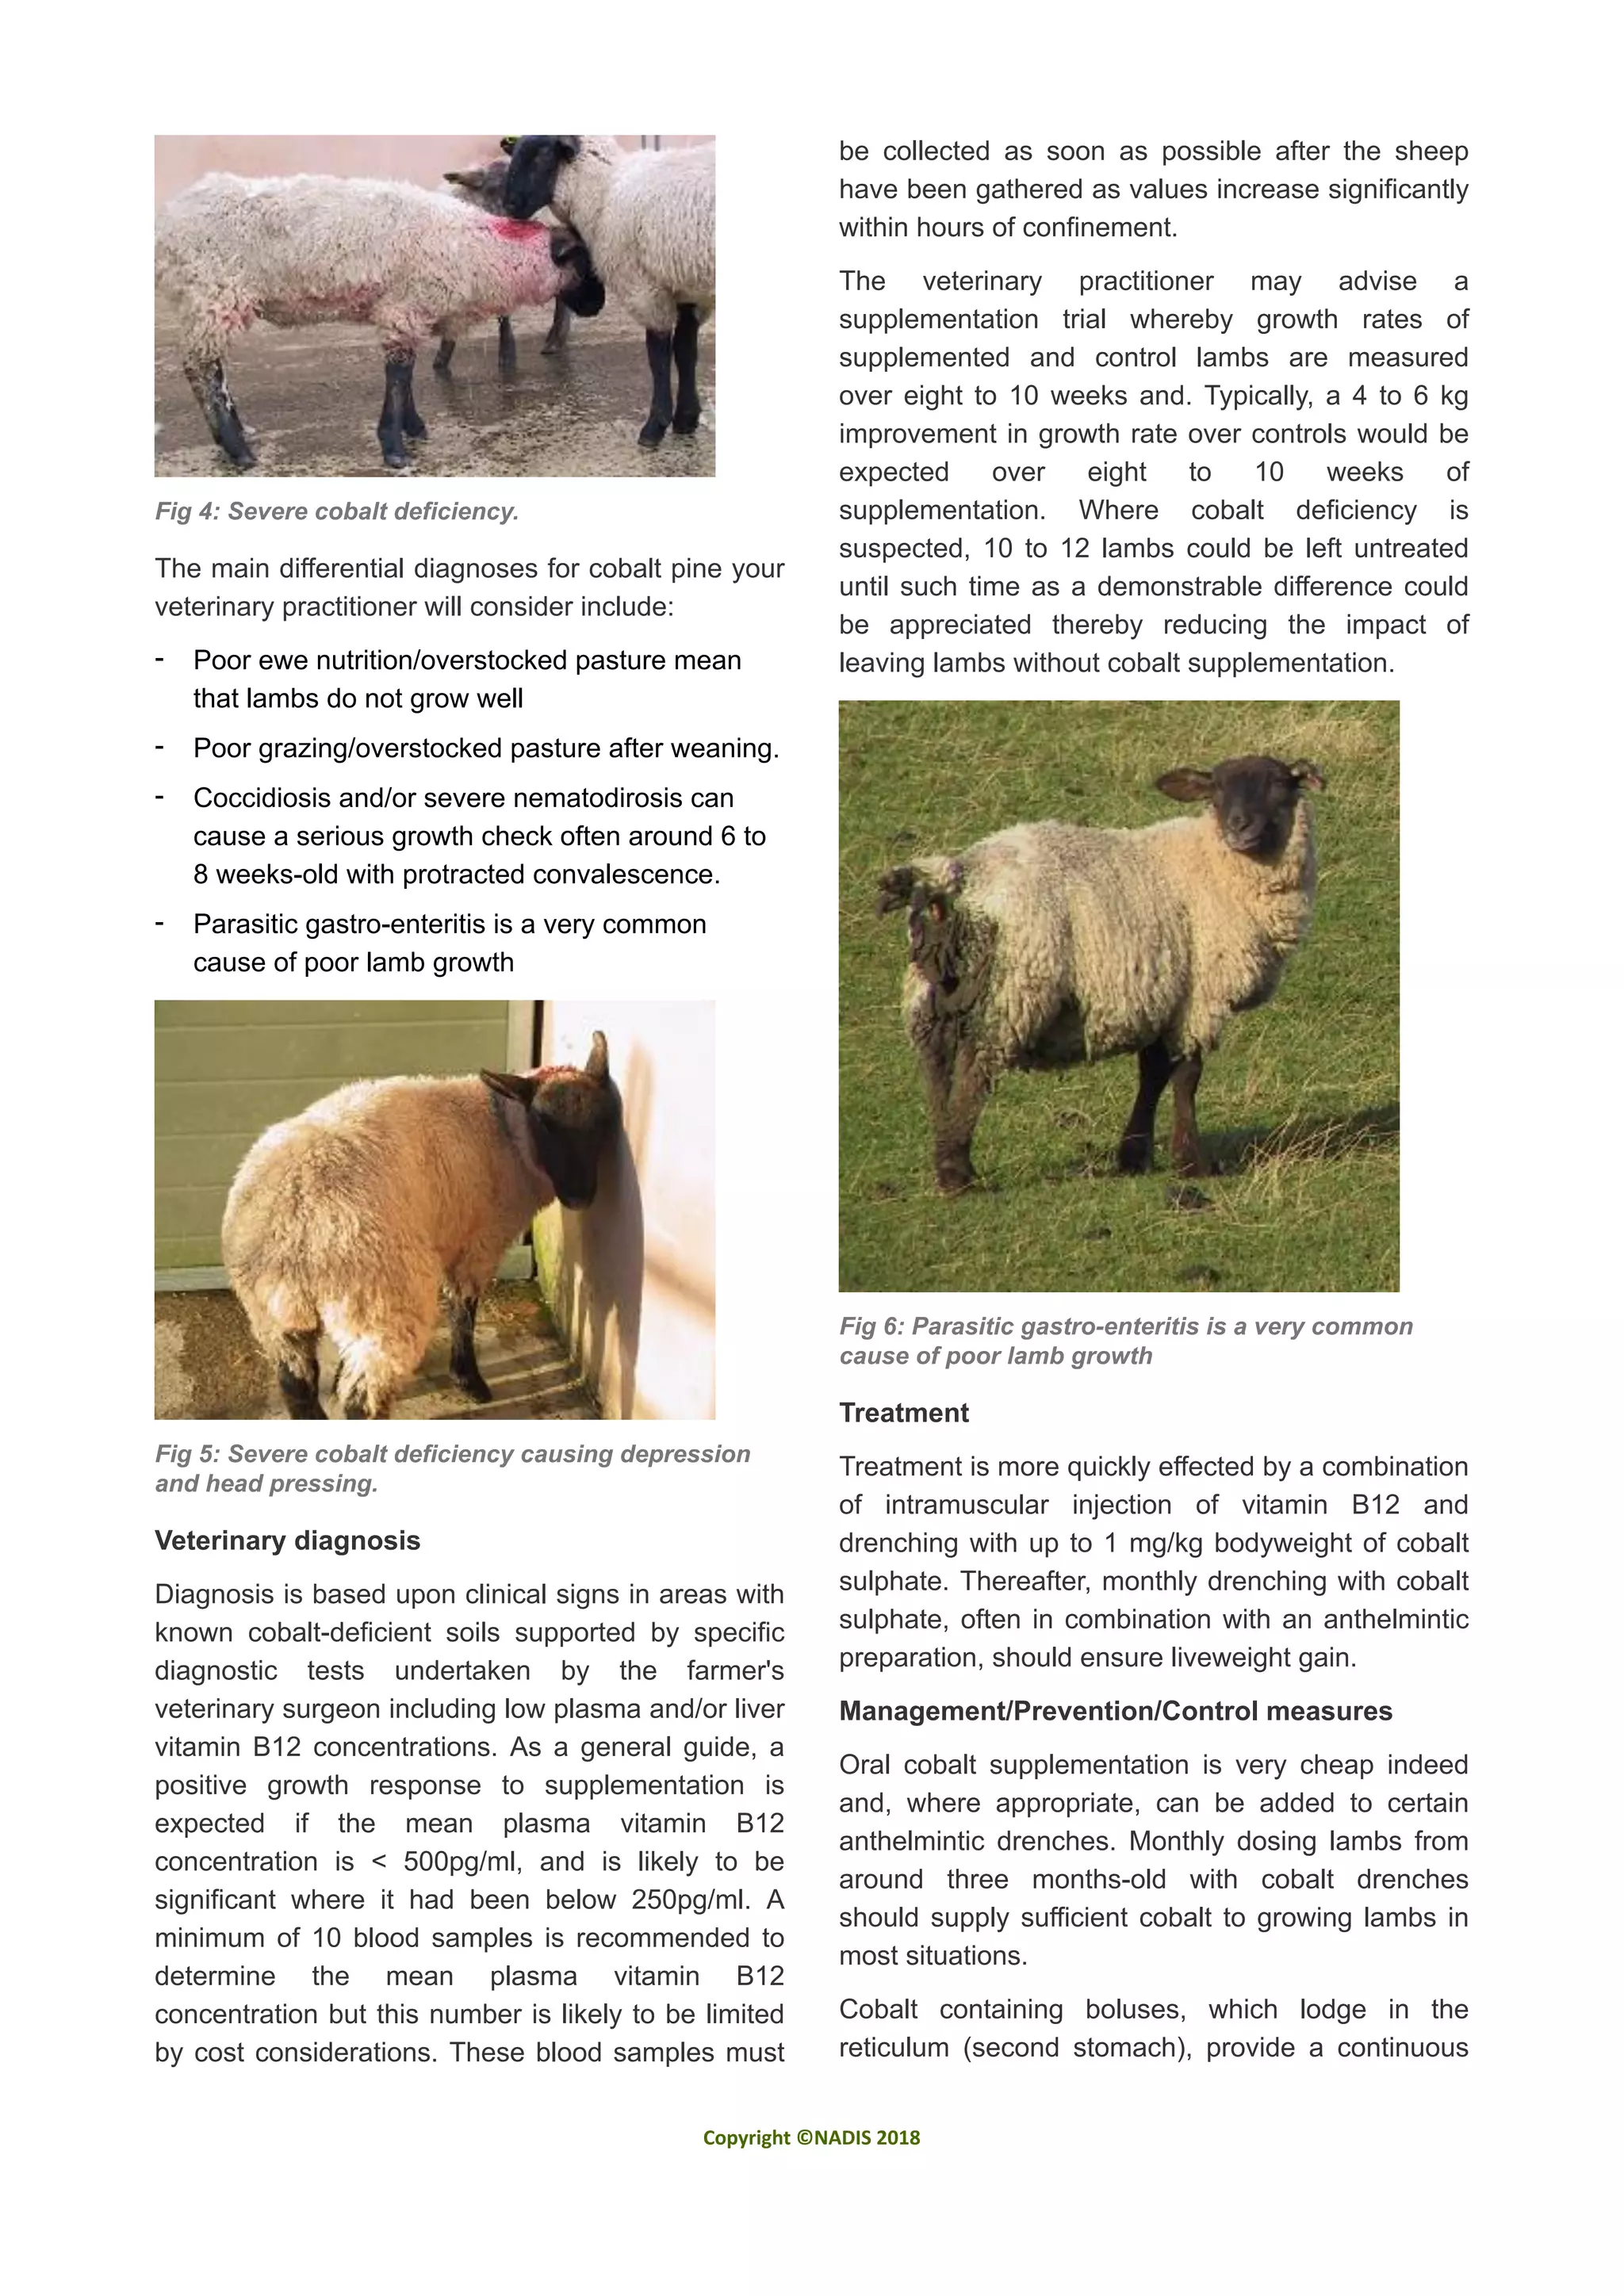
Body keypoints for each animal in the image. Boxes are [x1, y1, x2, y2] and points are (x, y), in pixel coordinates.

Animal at [221, 1036, 621, 1419]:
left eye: (603, 1123)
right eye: (543, 1122)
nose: (579, 1197)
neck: (504, 1132)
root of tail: (293, 1228)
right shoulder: (478, 1244)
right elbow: (463, 1311)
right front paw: (469, 1380)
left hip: (278, 1319)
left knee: (297, 1390)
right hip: (383, 1302)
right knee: (362, 1402)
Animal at [502, 136, 715, 446]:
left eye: (542, 156)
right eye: (514, 152)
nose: (509, 206)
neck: (604, 190)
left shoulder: (644, 288)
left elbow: (658, 356)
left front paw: (654, 427)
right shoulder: (687, 288)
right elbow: (686, 351)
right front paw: (686, 419)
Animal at [875, 756, 1325, 1194]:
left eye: (1278, 783)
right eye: (1216, 789)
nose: (1238, 827)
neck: (1213, 863)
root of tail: (957, 878)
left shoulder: (1162, 996)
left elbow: (1154, 1073)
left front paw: (1134, 1156)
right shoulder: (1199, 998)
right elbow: (1186, 1077)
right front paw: (1191, 1162)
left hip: (934, 1000)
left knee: (938, 1075)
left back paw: (946, 1157)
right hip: (1011, 989)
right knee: (974, 1072)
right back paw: (958, 1177)